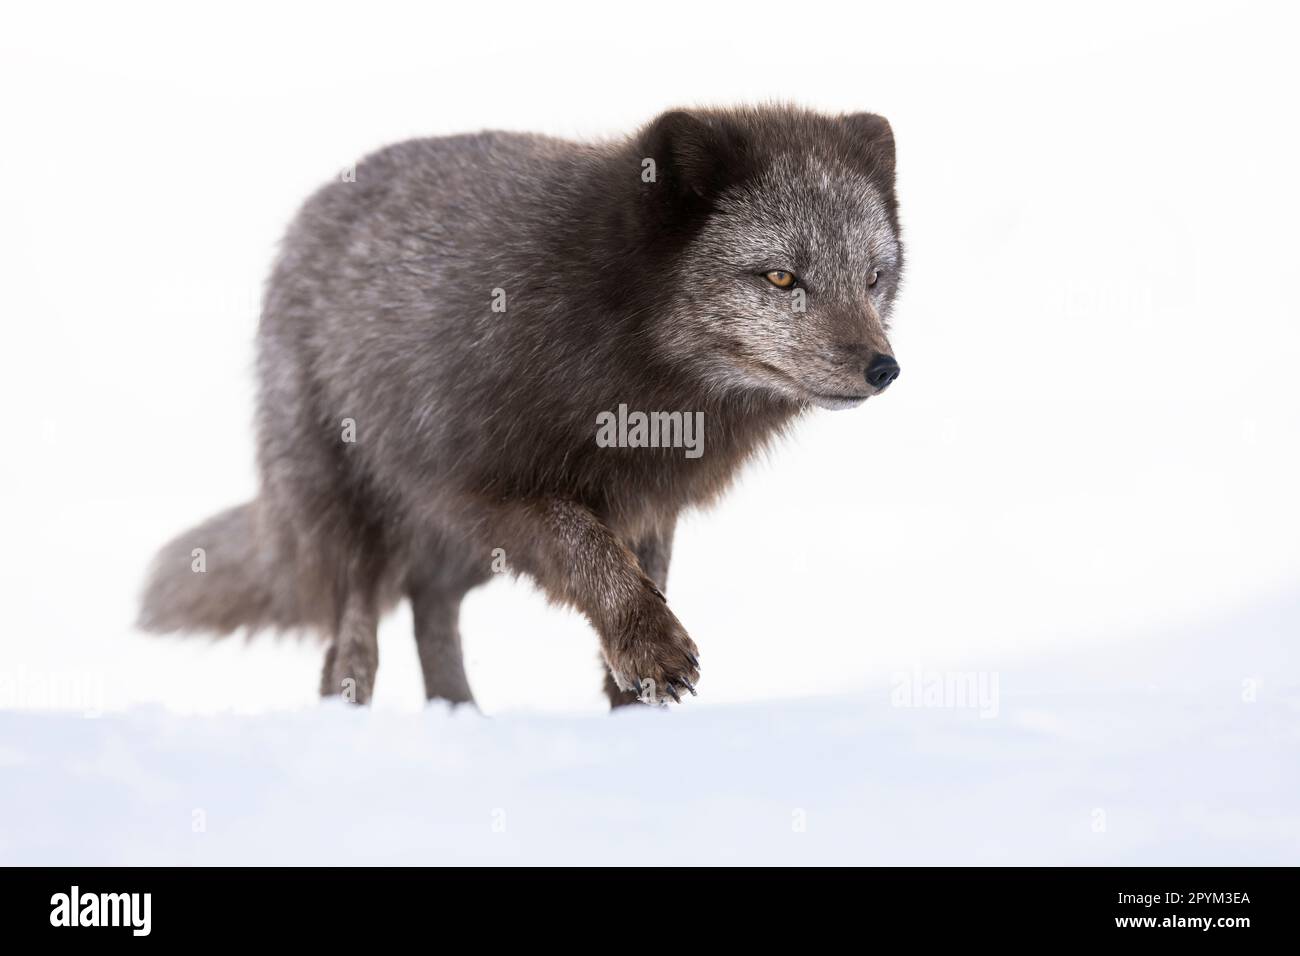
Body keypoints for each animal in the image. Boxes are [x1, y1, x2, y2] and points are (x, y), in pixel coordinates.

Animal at [138, 105, 905, 708]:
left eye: (873, 277)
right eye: (781, 277)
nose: (885, 369)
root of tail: (312, 211)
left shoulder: (650, 499)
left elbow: (642, 574)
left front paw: (635, 716)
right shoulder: (487, 487)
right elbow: (590, 551)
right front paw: (652, 650)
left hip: (453, 543)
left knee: (428, 605)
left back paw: (461, 716)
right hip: (352, 497)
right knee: (353, 629)